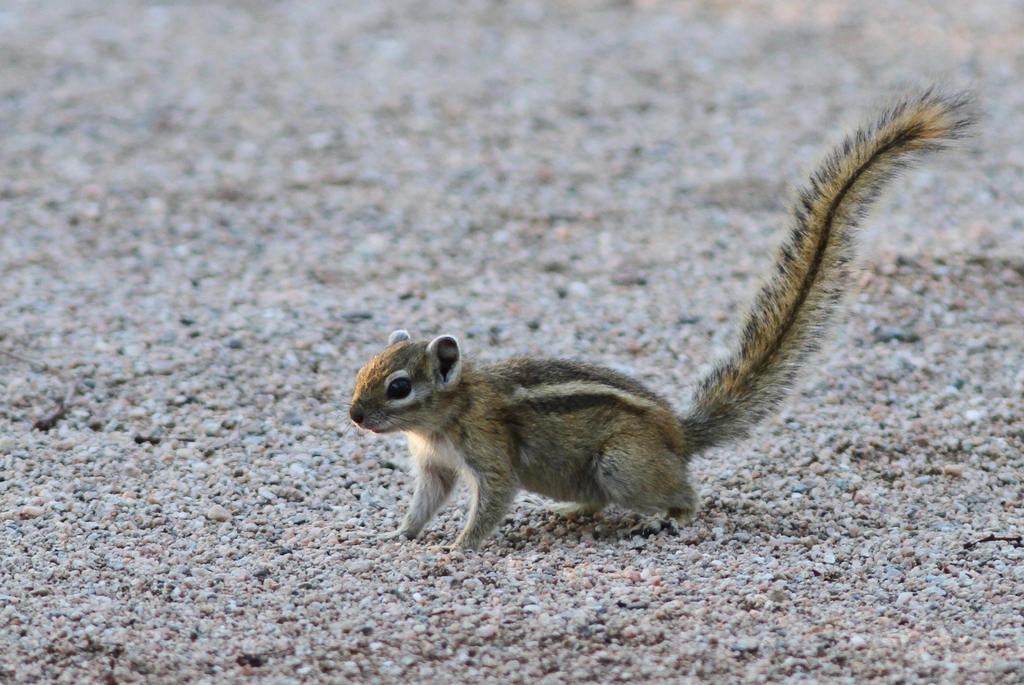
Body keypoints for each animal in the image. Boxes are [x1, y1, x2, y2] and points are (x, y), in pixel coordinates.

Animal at [348, 89, 974, 550]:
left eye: (398, 387)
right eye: (361, 374)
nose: (354, 417)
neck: (446, 415)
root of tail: (679, 435)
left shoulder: (489, 452)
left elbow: (491, 501)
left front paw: (460, 548)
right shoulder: (435, 466)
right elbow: (425, 500)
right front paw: (399, 535)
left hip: (622, 462)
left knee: (687, 497)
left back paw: (666, 518)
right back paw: (572, 511)